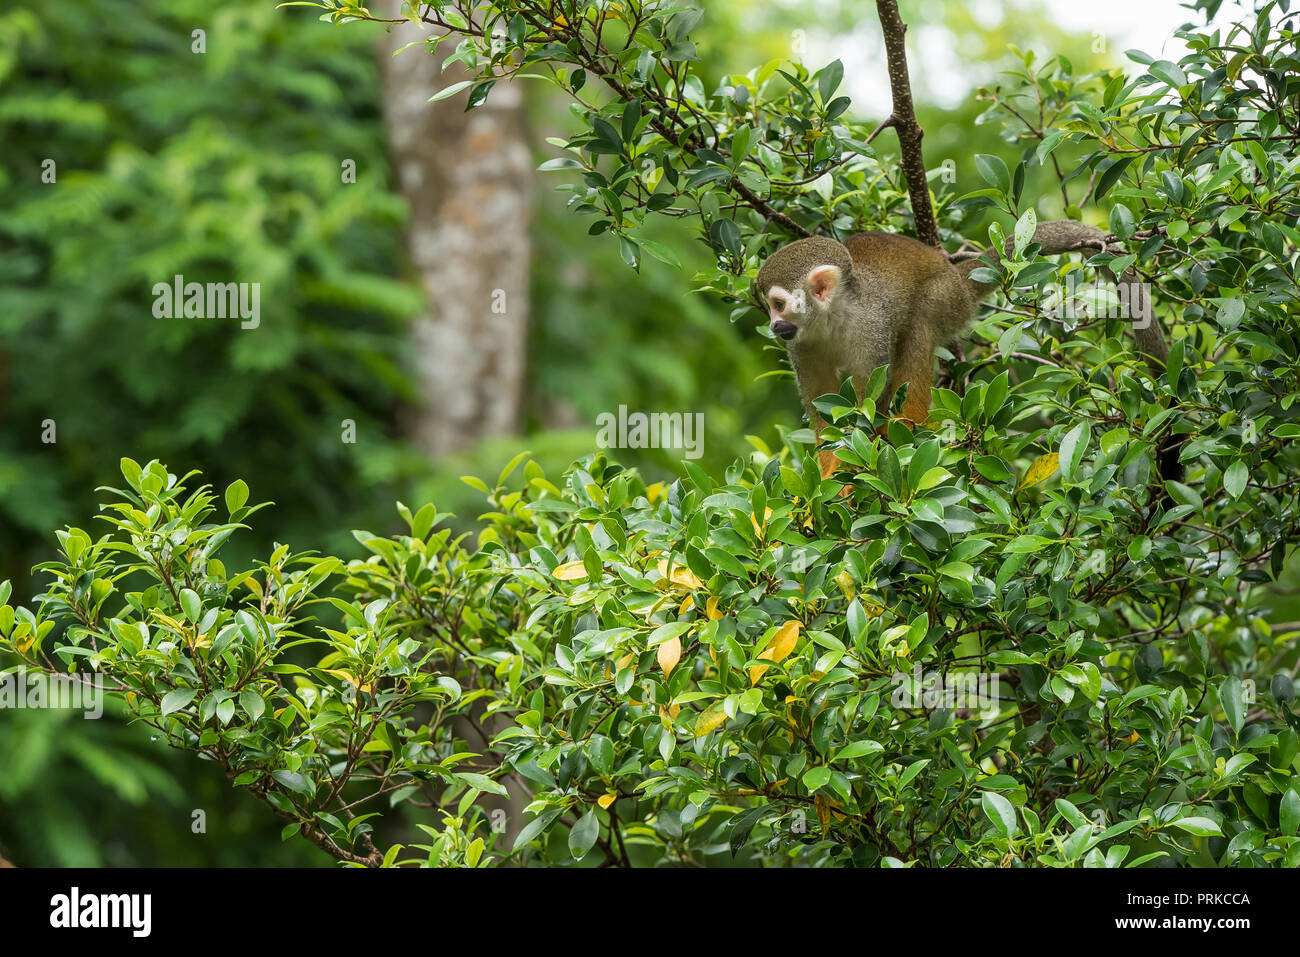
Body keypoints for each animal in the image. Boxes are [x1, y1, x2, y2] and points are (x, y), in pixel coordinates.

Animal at [755, 222, 1175, 482]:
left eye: (778, 305)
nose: (774, 326)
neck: (832, 317)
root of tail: (958, 275)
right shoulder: (801, 343)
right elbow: (824, 409)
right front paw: (825, 480)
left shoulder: (871, 326)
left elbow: (871, 403)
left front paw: (850, 475)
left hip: (948, 299)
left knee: (921, 326)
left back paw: (912, 427)